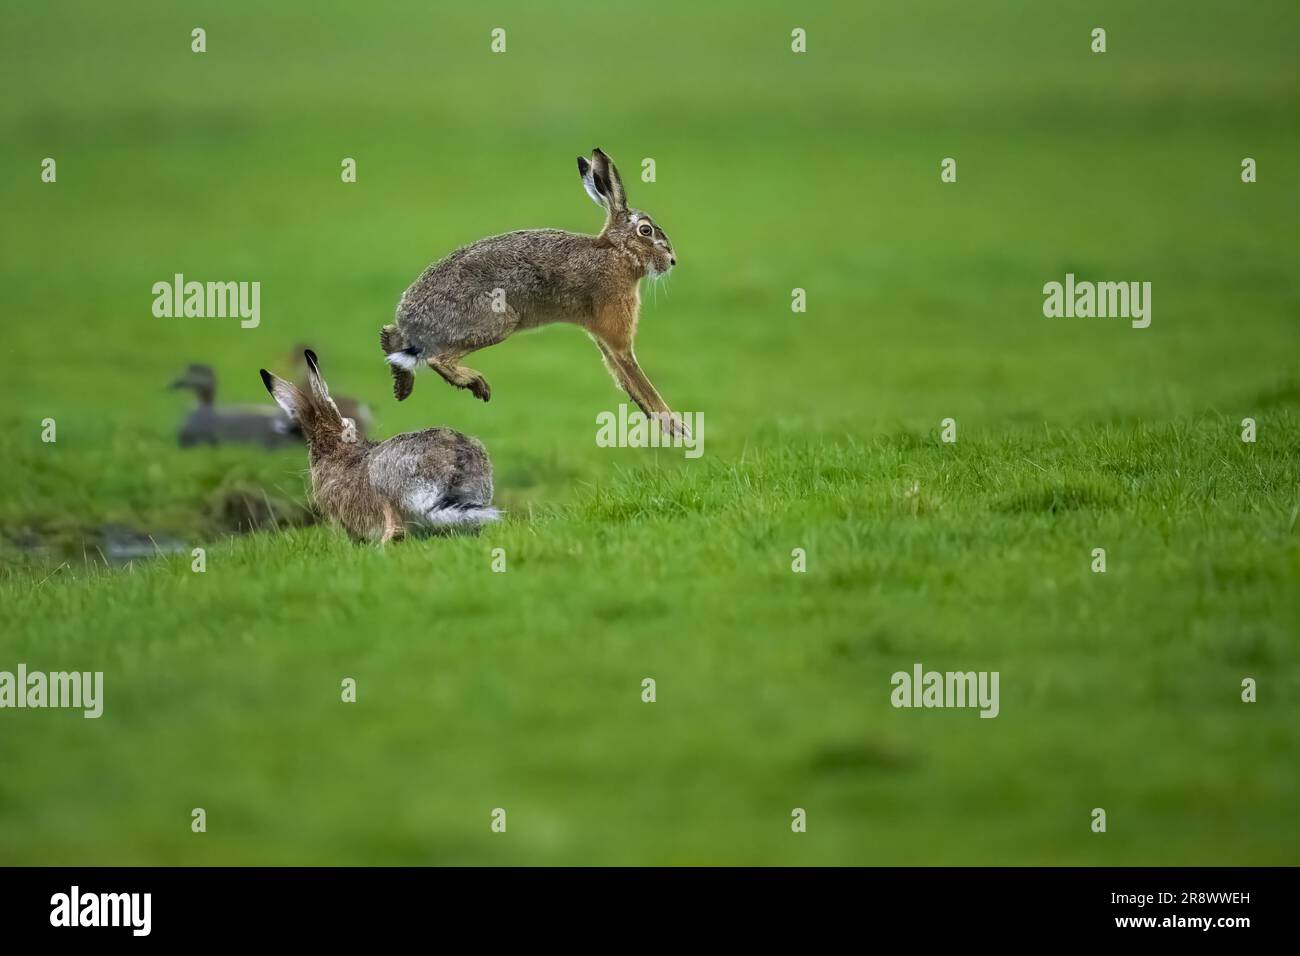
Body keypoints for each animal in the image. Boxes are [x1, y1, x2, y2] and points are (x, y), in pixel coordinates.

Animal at [380, 147, 687, 437]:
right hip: (496, 321)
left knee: (392, 338)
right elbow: (637, 376)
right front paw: (676, 426)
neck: (617, 253)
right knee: (436, 359)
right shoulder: (616, 334)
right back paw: (474, 383)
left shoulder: (602, 337)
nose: (672, 261)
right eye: (645, 231)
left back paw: (401, 385)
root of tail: (410, 322)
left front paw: (660, 420)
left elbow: (624, 378)